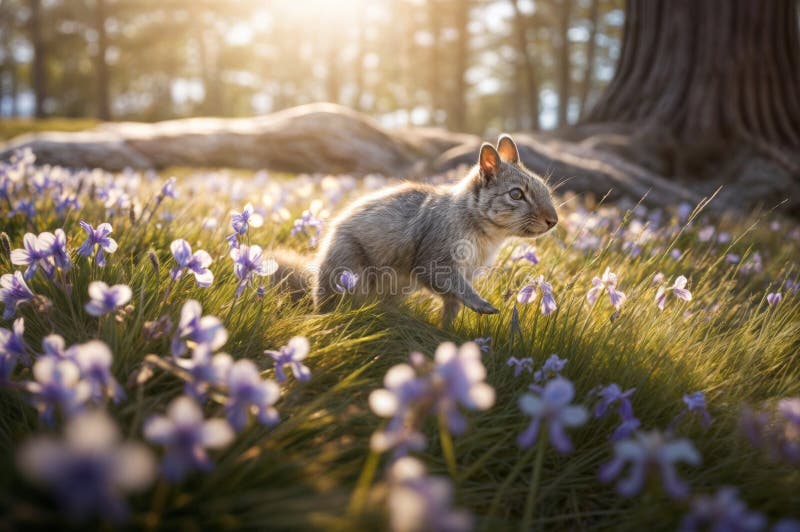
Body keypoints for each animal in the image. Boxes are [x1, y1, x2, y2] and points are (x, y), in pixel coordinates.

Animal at [275, 134, 558, 327]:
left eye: (544, 186)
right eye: (516, 194)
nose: (553, 220)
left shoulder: (467, 270)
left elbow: (452, 303)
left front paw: (448, 329)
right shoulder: (436, 255)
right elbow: (448, 283)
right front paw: (482, 305)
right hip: (348, 270)